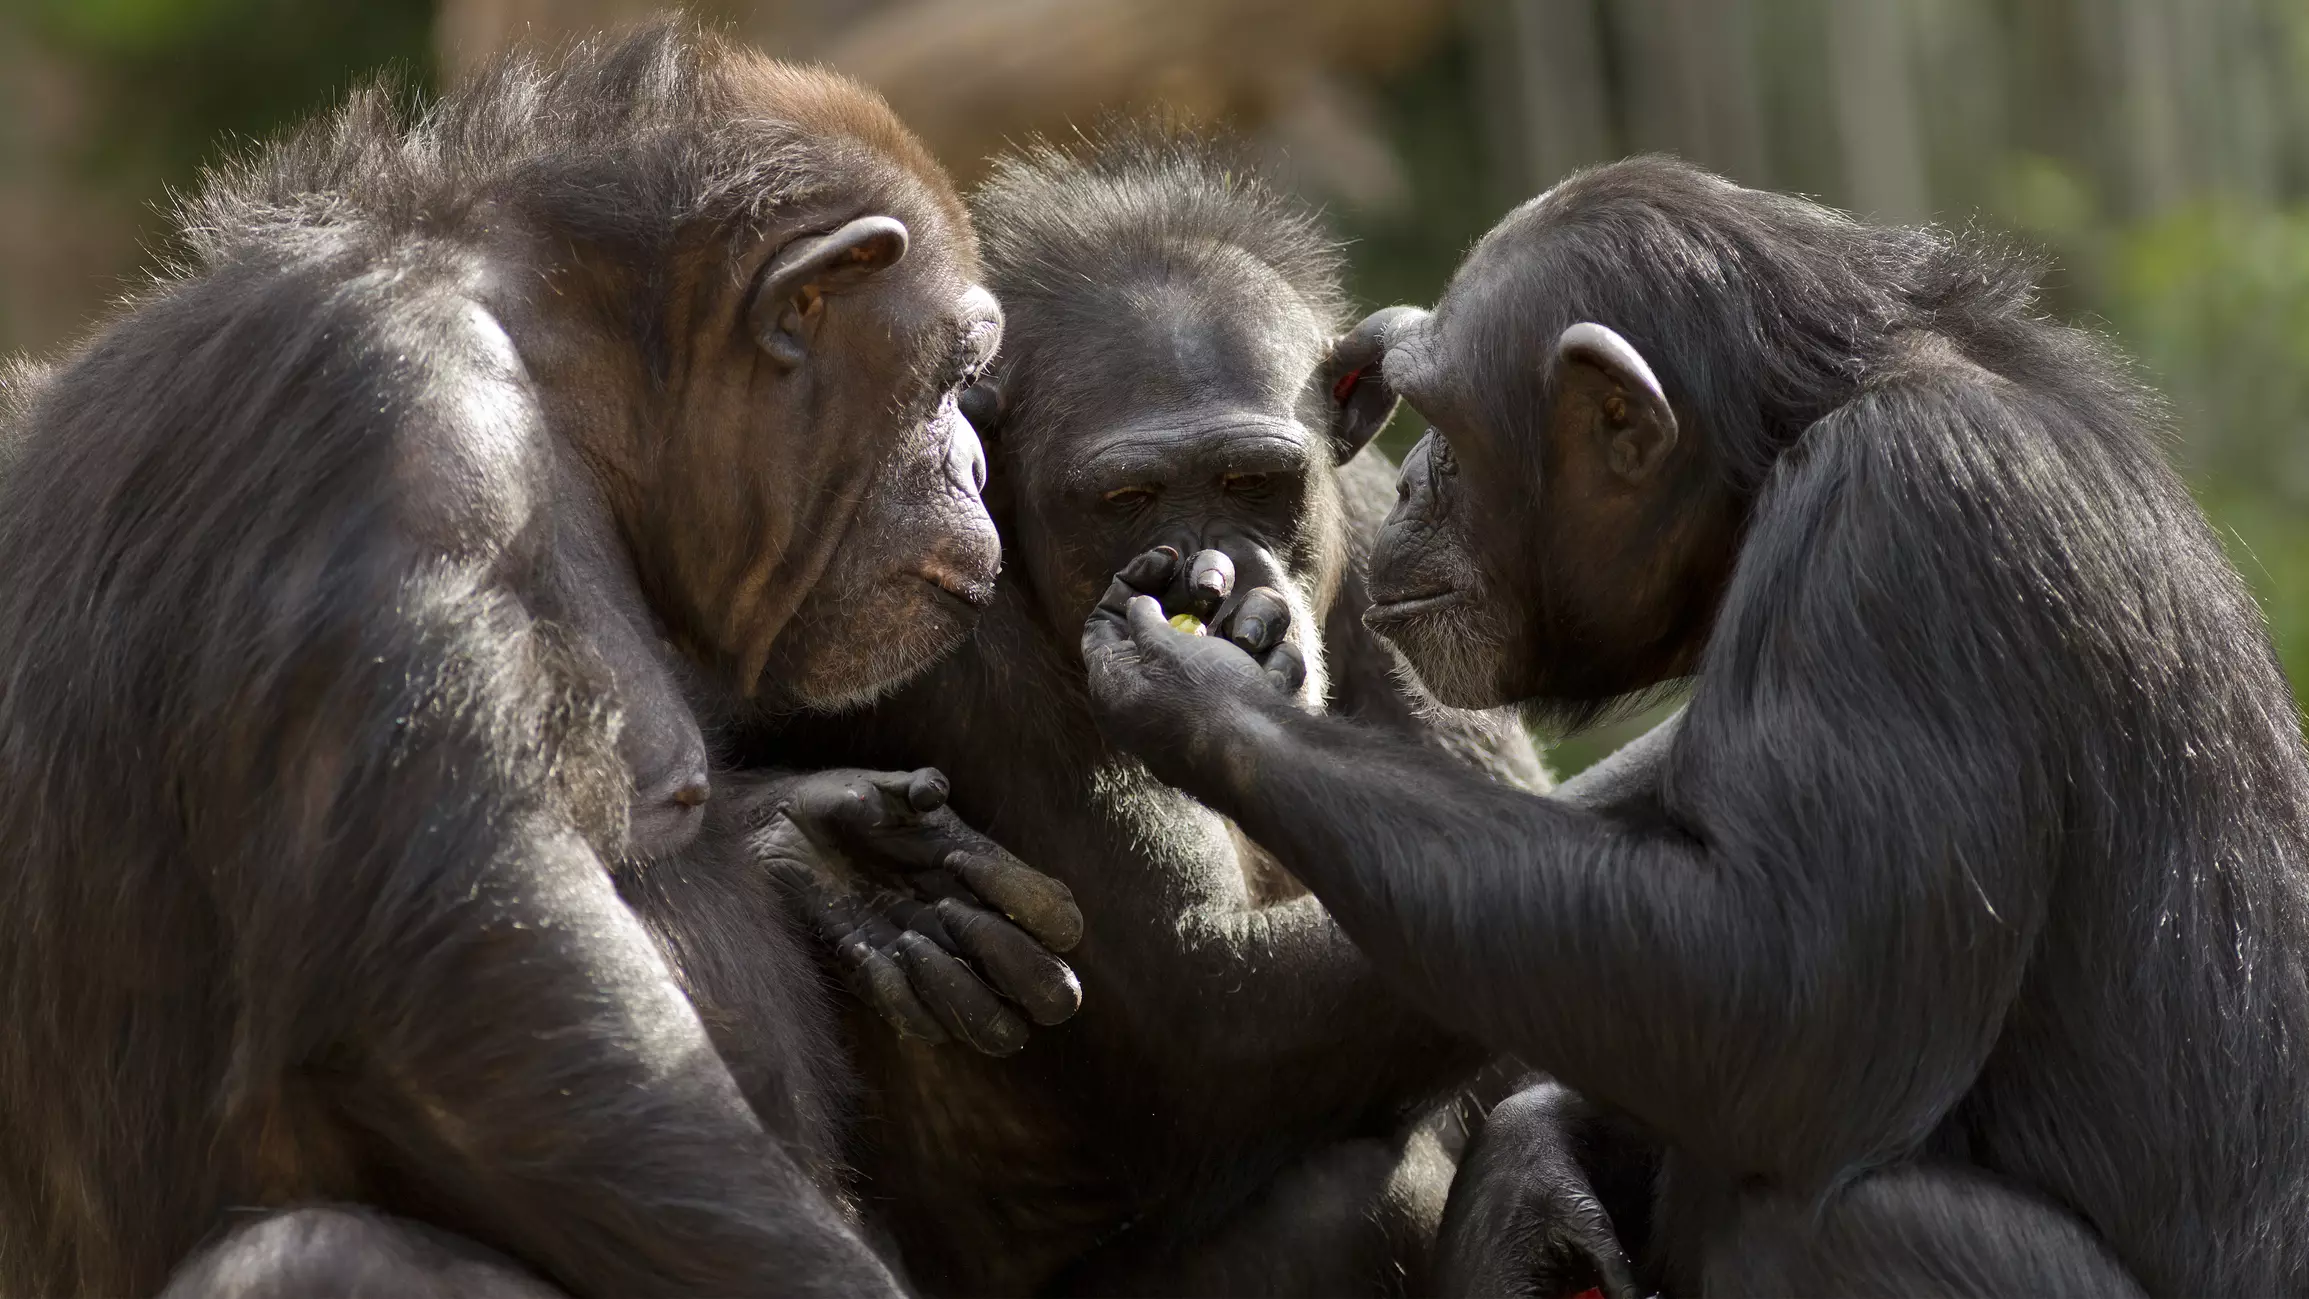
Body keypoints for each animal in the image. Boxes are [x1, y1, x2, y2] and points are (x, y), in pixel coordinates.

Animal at [0, 22, 1057, 1299]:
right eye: (955, 377)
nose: (973, 463)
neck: (565, 379)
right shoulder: (395, 424)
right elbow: (479, 987)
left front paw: (830, 855)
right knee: (313, 1251)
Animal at [748, 124, 1551, 1299]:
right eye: (1126, 498)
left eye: (1254, 480)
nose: (1211, 577)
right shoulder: (940, 651)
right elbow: (1201, 1001)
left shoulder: (1394, 537)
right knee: (1350, 1199)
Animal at [1080, 154, 2309, 1299]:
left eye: (1445, 425)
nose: (1413, 478)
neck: (1783, 447)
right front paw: (1535, 1175)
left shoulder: (1905, 525)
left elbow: (1788, 994)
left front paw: (1202, 687)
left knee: (1816, 1217)